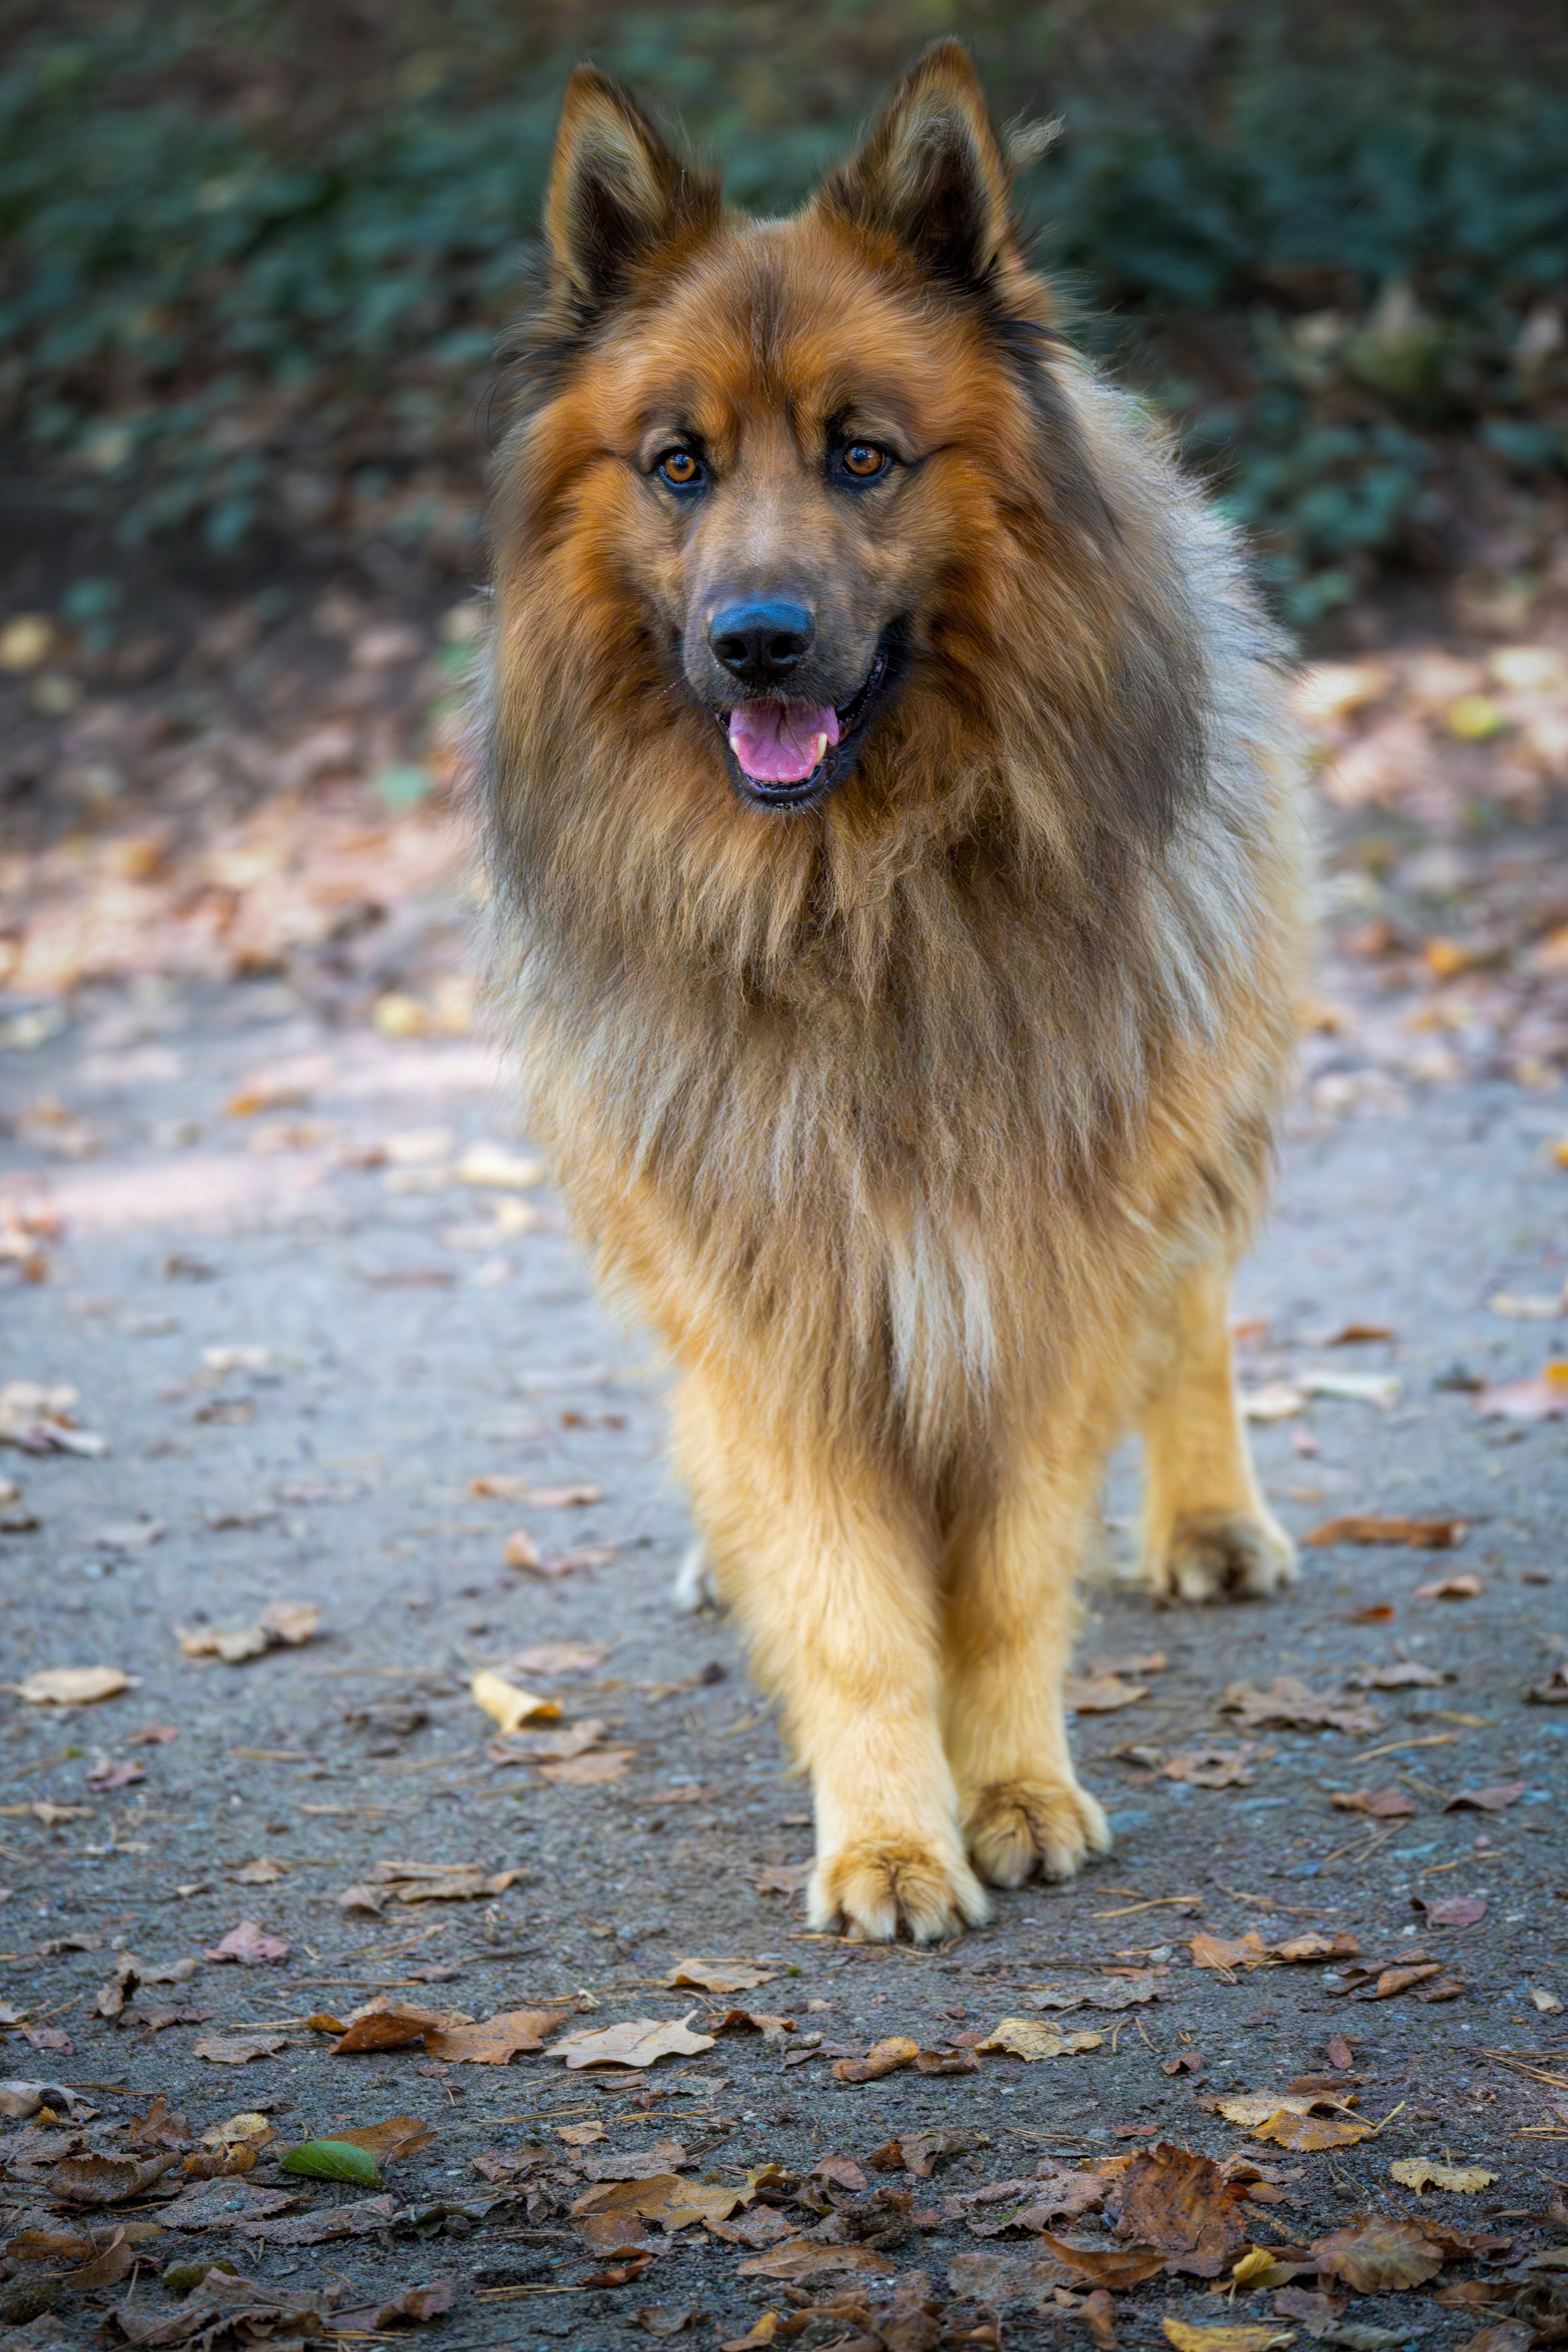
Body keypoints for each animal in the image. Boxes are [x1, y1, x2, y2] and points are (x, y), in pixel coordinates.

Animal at [482, 42, 1305, 1941]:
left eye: (863, 456)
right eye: (678, 466)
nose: (757, 642)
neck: (855, 907)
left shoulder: (1043, 1263)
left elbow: (1001, 1578)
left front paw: (1009, 1790)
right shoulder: (770, 1287)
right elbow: (848, 1600)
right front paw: (885, 1837)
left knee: (1194, 1307)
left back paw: (1207, 1518)